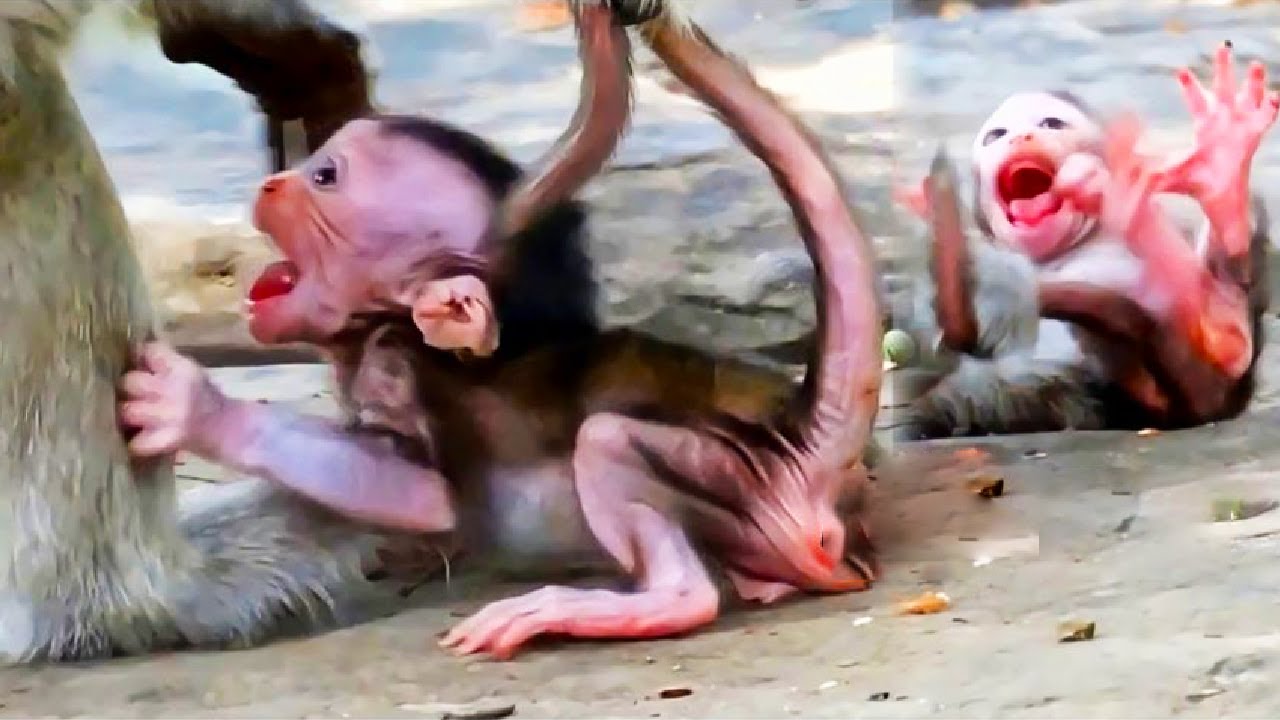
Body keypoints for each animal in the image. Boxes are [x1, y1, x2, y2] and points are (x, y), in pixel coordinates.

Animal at [118, 0, 885, 661]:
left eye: (325, 175)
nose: (273, 184)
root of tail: (806, 441)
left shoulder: (398, 357)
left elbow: (415, 489)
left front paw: (193, 408)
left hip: (742, 474)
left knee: (609, 441)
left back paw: (638, 601)